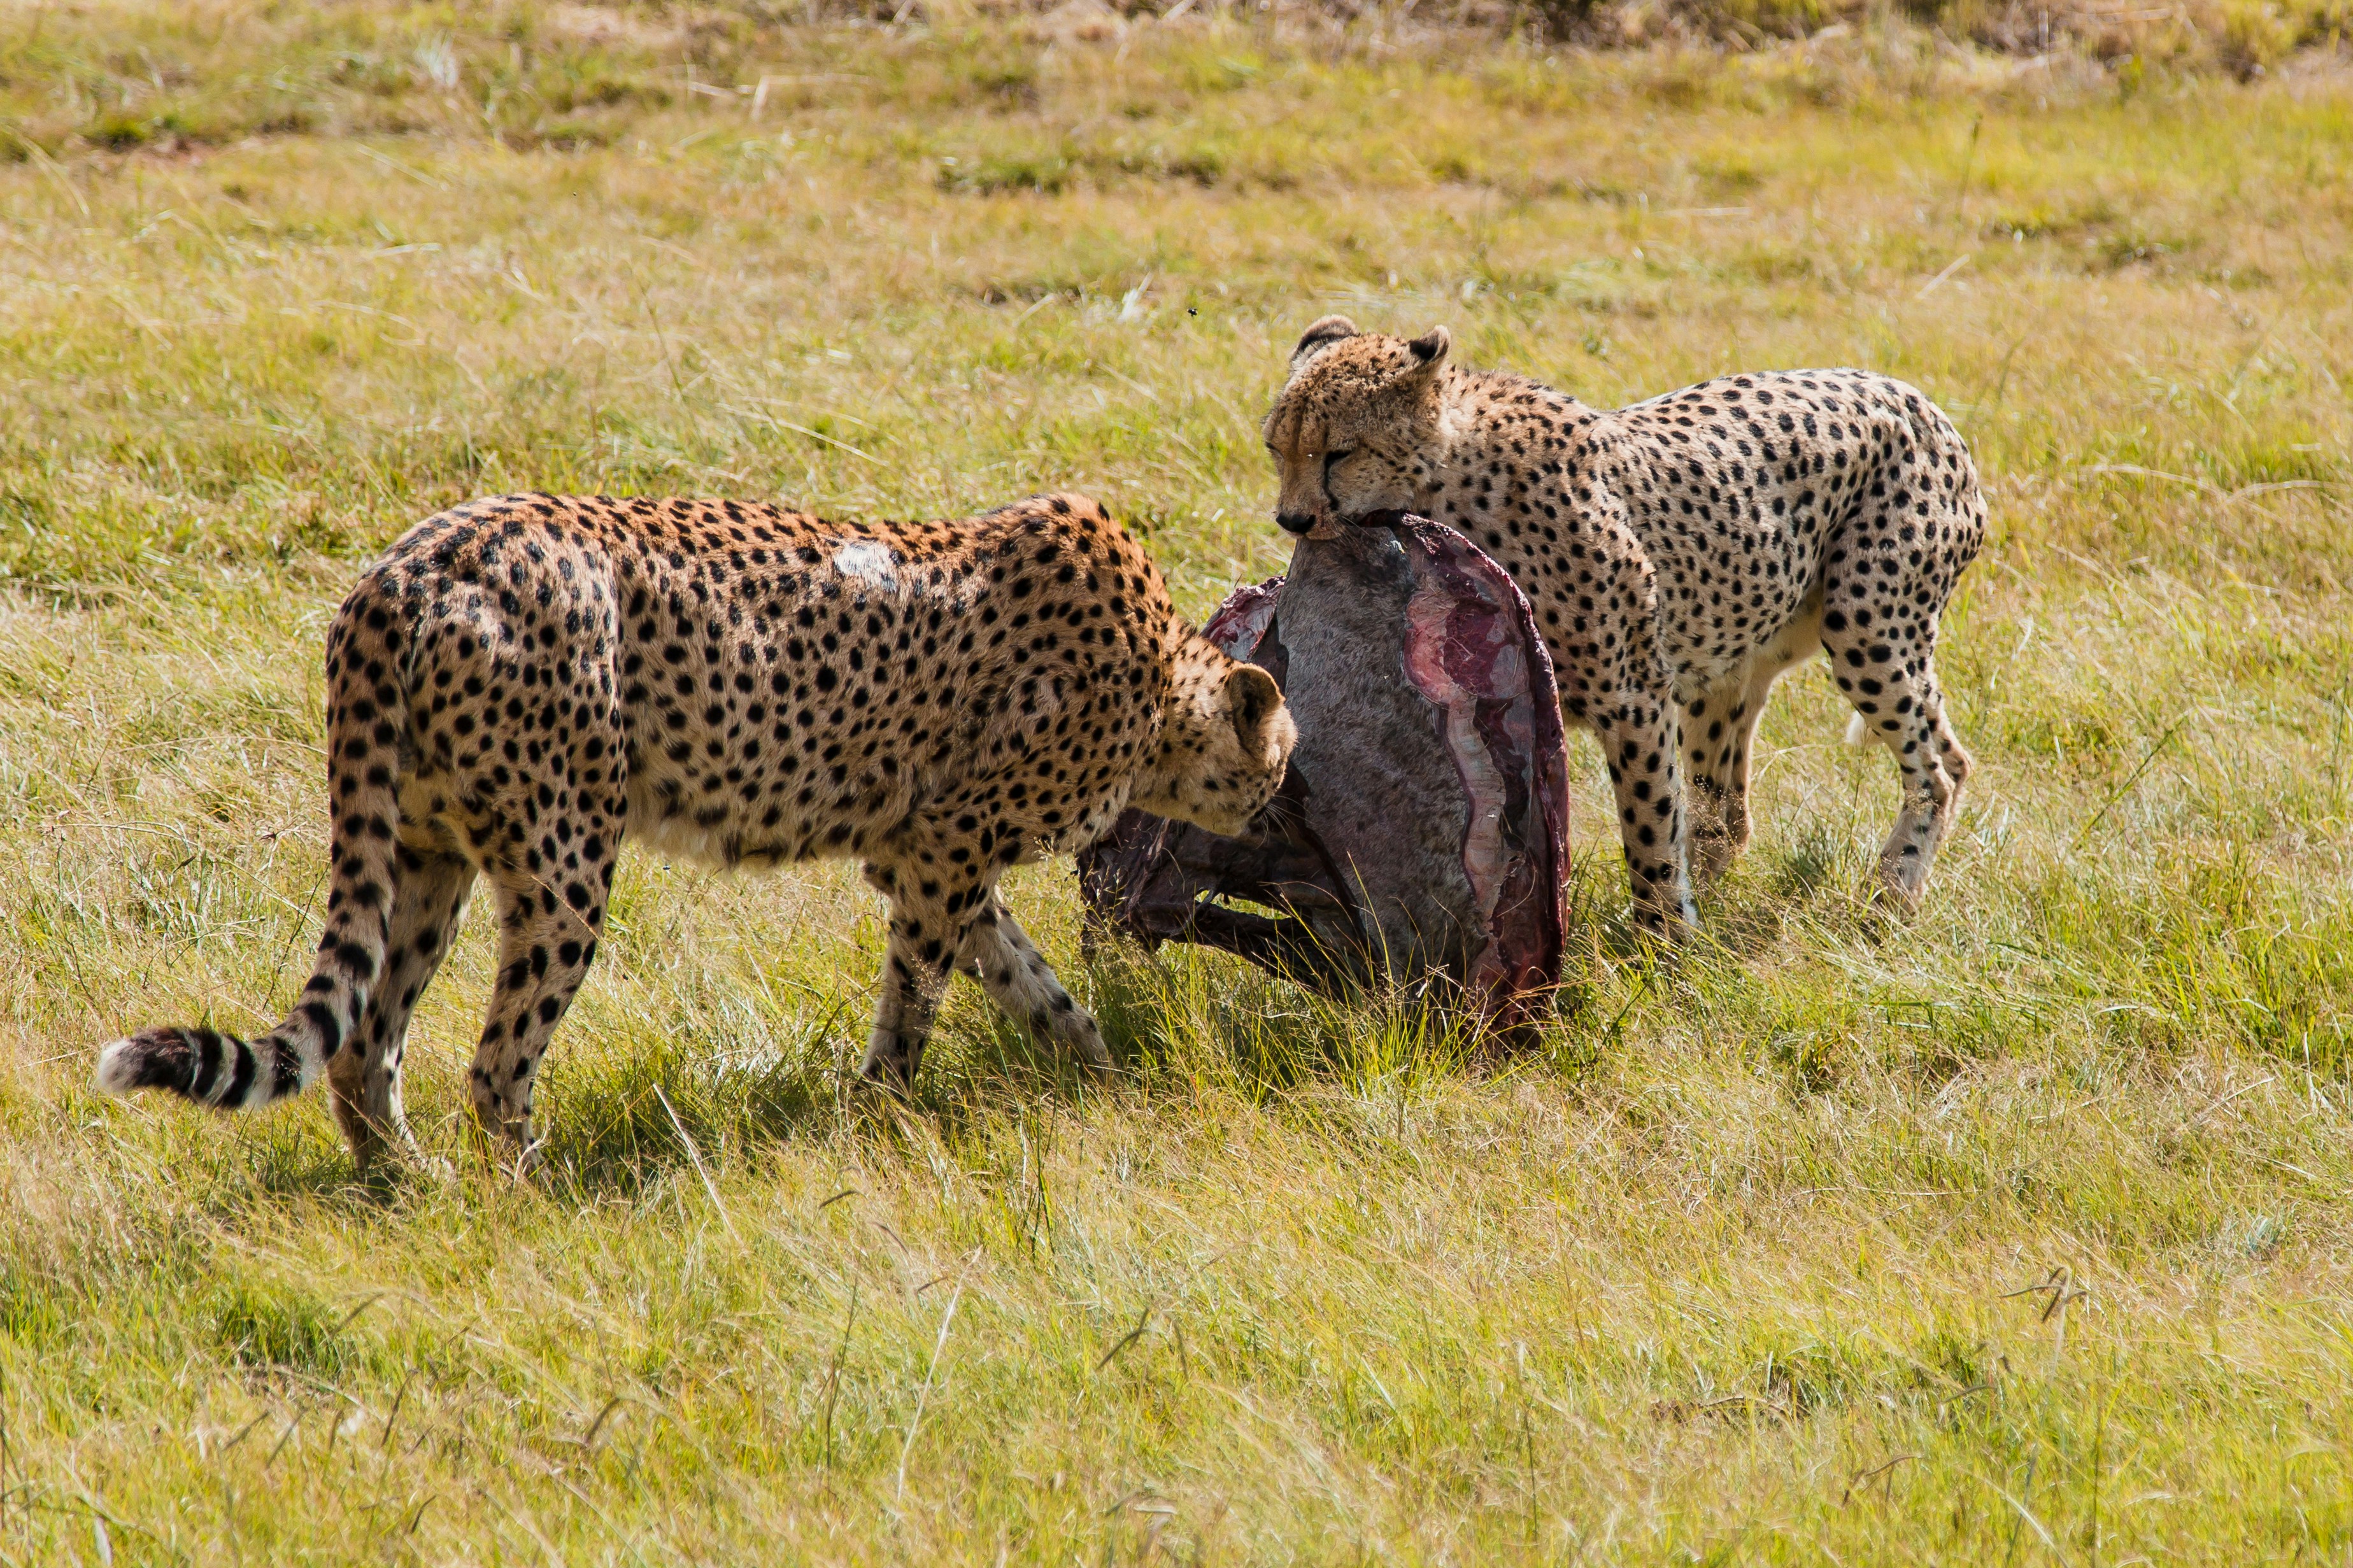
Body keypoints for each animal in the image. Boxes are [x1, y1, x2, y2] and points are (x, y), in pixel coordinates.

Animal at [96, 490, 1295, 1171]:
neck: (1162, 691)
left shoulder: (921, 856)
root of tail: (408, 566)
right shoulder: (942, 850)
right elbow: (917, 999)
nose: (1280, 801)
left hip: (427, 853)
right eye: (1283, 757)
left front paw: (1103, 1078)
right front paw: (886, 1116)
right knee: (495, 1061)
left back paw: (409, 1188)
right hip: (565, 861)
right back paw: (524, 1196)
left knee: (366, 1041)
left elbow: (1031, 982)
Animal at [1263, 316, 1984, 939]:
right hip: (1726, 668)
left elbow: (1648, 820)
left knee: (1943, 766)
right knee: (1726, 812)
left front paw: (1662, 943)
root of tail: (1916, 400)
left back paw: (1890, 893)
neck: (1445, 485)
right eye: (1276, 450)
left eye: (1338, 453)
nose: (1292, 520)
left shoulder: (1632, 696)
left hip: (1866, 629)